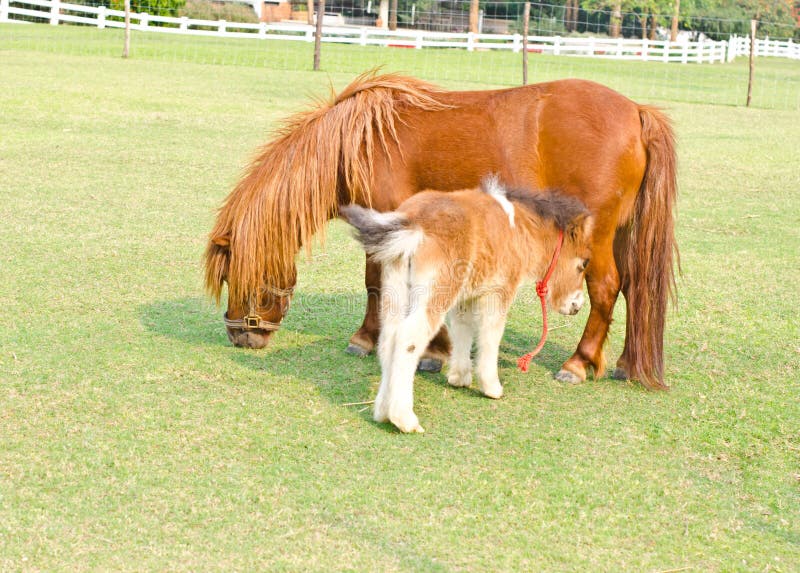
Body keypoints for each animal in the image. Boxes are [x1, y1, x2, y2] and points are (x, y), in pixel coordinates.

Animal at [204, 71, 678, 390]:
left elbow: (378, 282)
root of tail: (636, 112)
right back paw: (622, 364)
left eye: (233, 278)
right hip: (622, 234)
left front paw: (396, 345)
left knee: (606, 288)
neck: (359, 144)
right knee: (635, 288)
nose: (239, 335)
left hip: (594, 237)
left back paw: (578, 363)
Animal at [341, 178, 593, 433]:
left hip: (396, 289)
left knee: (389, 337)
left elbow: (462, 330)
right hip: (434, 294)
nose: (577, 305)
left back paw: (383, 412)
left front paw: (460, 378)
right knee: (408, 338)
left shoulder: (465, 296)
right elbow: (490, 335)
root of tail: (412, 223)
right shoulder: (499, 292)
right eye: (584, 263)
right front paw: (491, 387)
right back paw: (404, 419)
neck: (519, 229)